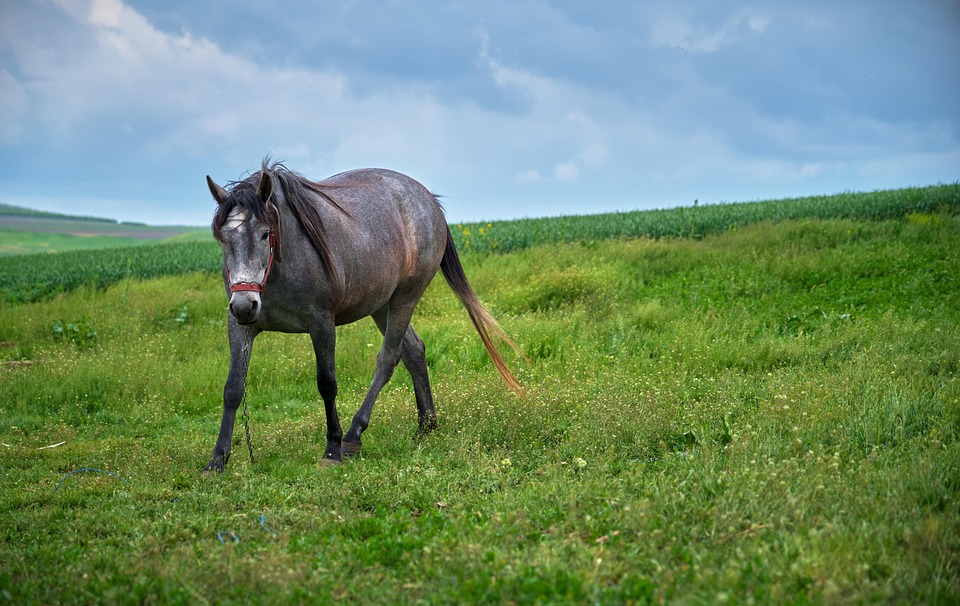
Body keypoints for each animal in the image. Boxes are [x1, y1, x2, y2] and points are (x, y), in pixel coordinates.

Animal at [203, 159, 524, 473]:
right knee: (414, 350)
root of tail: (428, 200)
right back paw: (426, 425)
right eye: (221, 238)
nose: (245, 304)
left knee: (388, 359)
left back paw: (354, 436)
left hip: (405, 298)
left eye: (265, 233)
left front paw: (332, 450)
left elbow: (327, 384)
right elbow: (233, 388)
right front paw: (218, 459)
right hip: (382, 305)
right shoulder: (241, 327)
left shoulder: (321, 324)